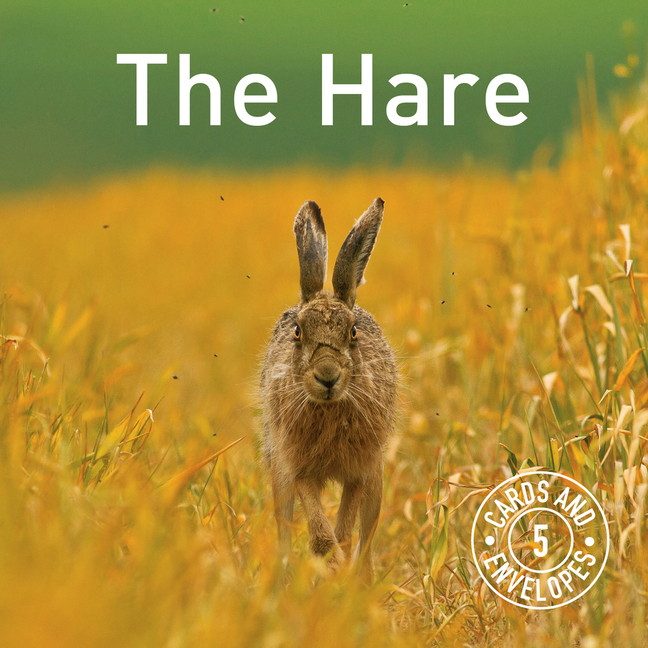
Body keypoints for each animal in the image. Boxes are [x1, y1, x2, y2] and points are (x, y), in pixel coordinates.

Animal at [260, 197, 397, 581]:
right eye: (297, 332)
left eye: (352, 332)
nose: (327, 376)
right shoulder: (297, 465)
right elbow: (319, 529)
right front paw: (331, 563)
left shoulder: (361, 469)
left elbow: (347, 528)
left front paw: (340, 567)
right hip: (278, 474)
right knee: (284, 528)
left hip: (377, 480)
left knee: (367, 535)